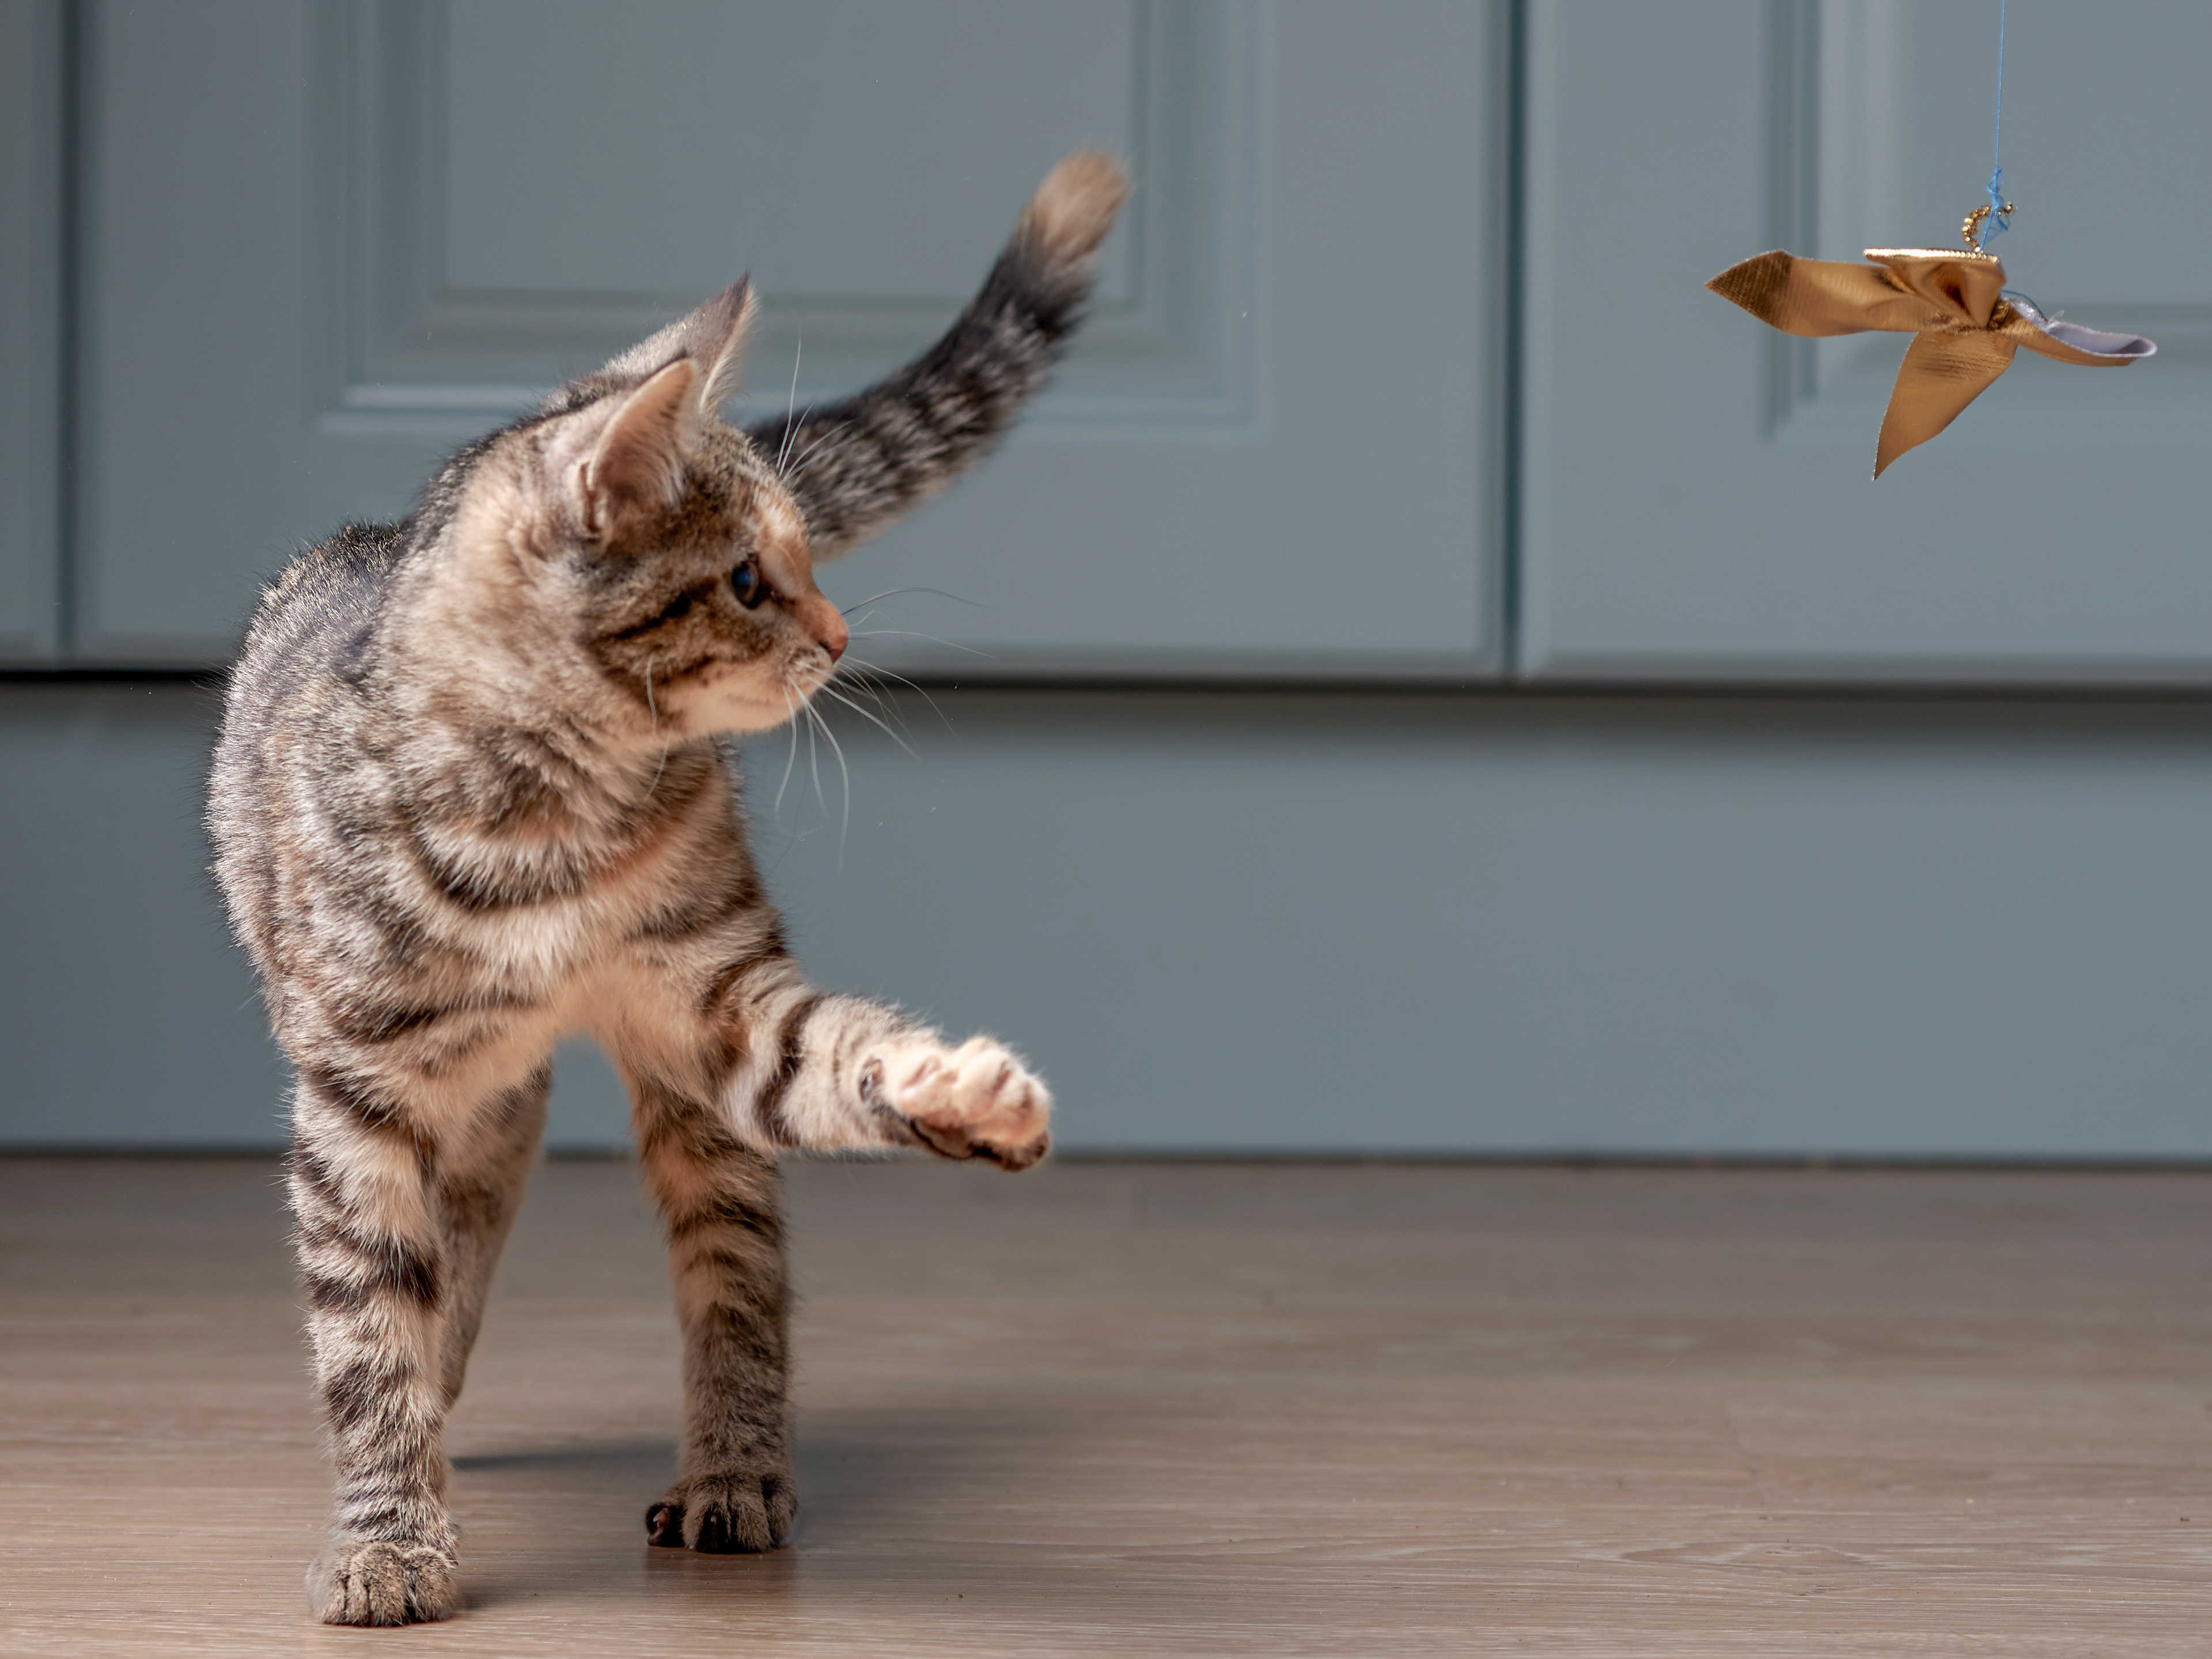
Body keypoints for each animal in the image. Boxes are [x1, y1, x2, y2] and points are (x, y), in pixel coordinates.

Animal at [211, 149, 1123, 1628]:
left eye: (803, 561)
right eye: (748, 578)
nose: (839, 635)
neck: (551, 826)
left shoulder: (716, 1002)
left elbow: (831, 1060)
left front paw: (957, 1094)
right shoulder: (355, 1090)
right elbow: (369, 1323)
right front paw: (387, 1532)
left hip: (684, 1121)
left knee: (731, 1268)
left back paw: (733, 1472)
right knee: (456, 1240)